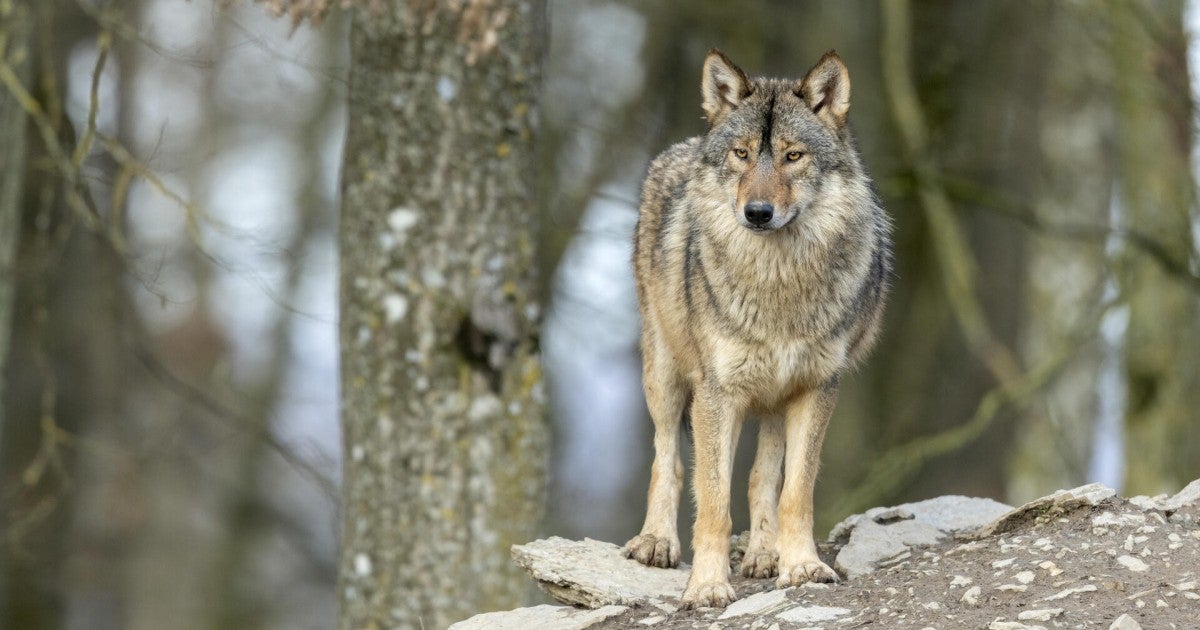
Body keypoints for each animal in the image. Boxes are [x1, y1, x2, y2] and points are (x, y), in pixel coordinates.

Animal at [622, 49, 892, 609]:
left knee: (760, 475)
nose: (758, 212)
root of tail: (680, 148)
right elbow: (712, 502)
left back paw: (765, 555)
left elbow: (795, 492)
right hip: (666, 379)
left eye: (793, 156)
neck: (777, 285)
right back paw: (657, 542)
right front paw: (706, 585)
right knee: (669, 459)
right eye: (743, 155)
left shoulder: (816, 388)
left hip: (772, 397)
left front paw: (802, 566)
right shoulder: (716, 393)